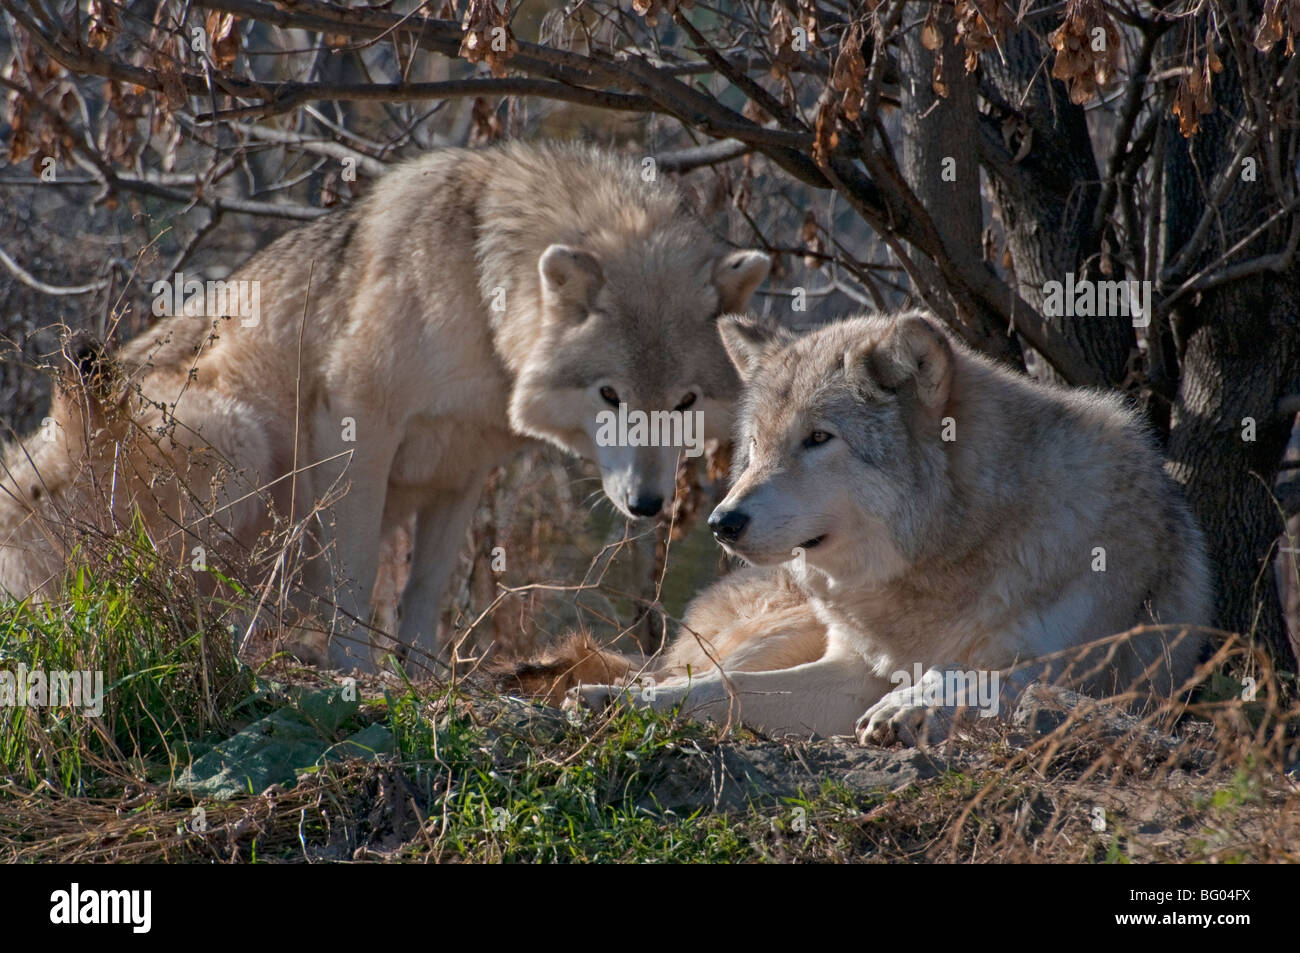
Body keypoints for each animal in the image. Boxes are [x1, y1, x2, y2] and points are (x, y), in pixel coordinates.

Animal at [0, 141, 769, 672]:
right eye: (611, 395)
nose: (647, 504)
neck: (477, 296)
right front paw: (356, 669)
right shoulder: (359, 424)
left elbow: (423, 590)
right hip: (239, 442)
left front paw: (424, 676)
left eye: (684, 402)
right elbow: (359, 569)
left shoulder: (465, 468)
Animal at [567, 310, 1211, 745]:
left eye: (819, 438)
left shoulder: (1103, 678)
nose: (724, 522)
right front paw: (626, 704)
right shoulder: (851, 670)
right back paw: (609, 692)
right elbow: (721, 690)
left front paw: (909, 706)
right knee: (693, 670)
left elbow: (991, 678)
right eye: (756, 444)